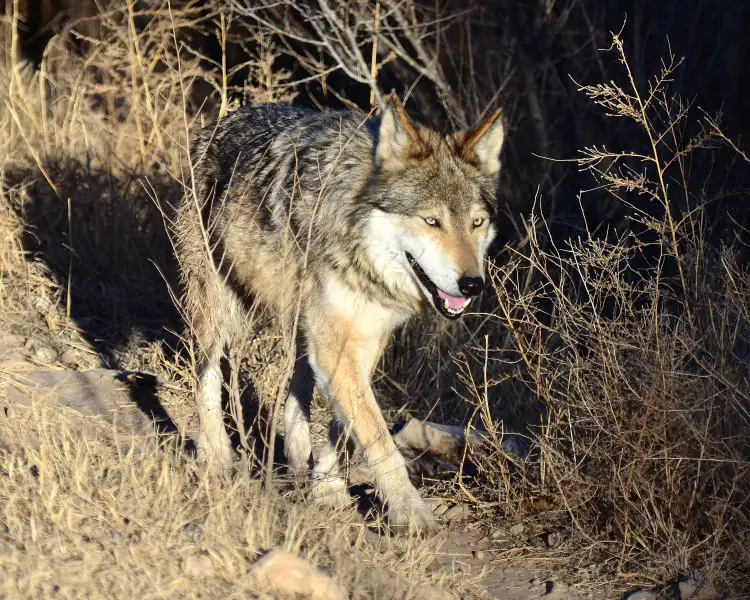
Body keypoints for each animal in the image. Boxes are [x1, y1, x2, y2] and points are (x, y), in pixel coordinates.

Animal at [174, 95, 506, 533]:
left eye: (477, 223)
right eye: (432, 221)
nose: (472, 285)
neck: (354, 231)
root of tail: (224, 120)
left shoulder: (367, 336)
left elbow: (343, 425)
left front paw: (328, 489)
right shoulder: (336, 344)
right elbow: (377, 435)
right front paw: (410, 512)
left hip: (304, 322)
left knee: (298, 384)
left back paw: (296, 455)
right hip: (217, 310)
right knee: (208, 374)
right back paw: (217, 457)